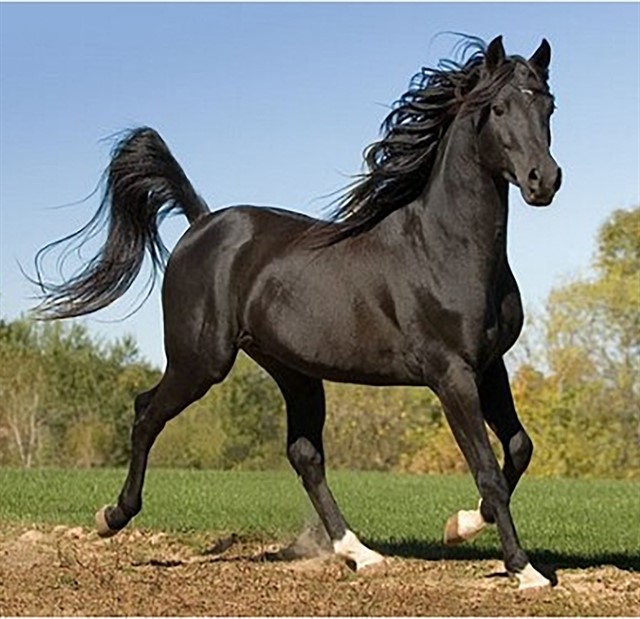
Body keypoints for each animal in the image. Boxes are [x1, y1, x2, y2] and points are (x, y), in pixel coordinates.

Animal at [34, 35, 562, 590]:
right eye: (498, 108)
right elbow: (489, 470)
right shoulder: (451, 374)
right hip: (201, 362)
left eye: (548, 105)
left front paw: (458, 527)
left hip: (293, 370)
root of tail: (201, 224)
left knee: (305, 455)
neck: (443, 248)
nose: (543, 181)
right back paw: (111, 517)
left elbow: (519, 449)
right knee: (145, 413)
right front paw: (525, 571)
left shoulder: (489, 366)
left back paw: (360, 554)